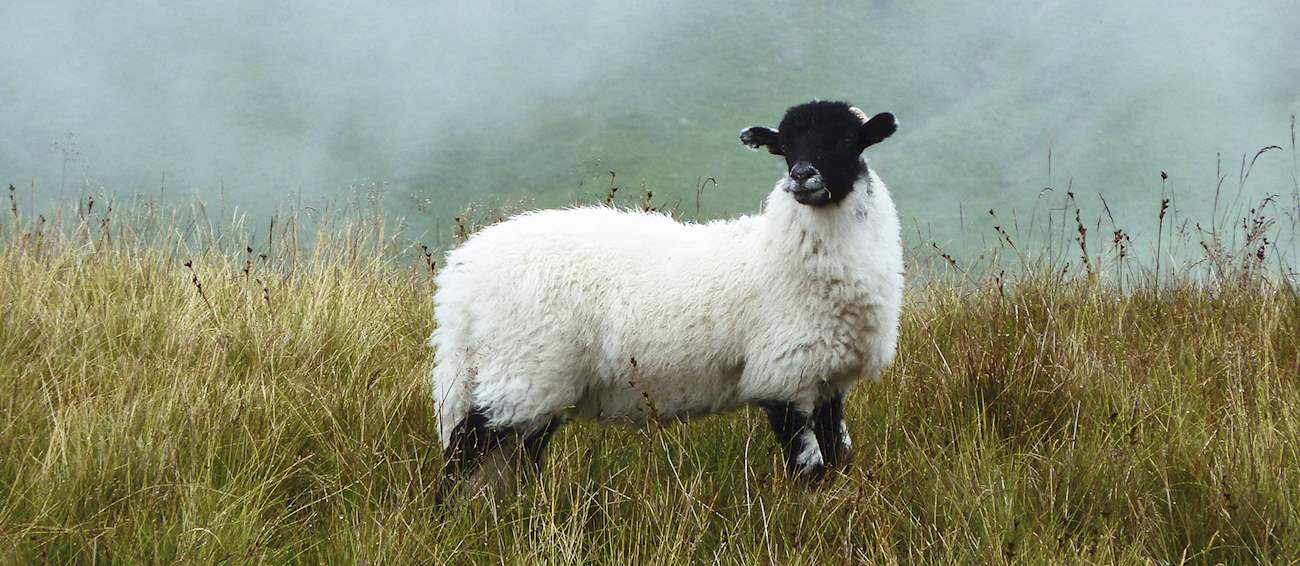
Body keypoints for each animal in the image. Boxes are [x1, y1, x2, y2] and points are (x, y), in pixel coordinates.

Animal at [429, 100, 903, 493]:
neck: (776, 248)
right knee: (465, 445)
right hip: (520, 367)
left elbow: (840, 454)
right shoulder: (783, 374)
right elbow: (810, 469)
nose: (801, 177)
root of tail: (461, 279)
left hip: (538, 382)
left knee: (513, 453)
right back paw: (447, 516)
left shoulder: (828, 378)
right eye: (784, 147)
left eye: (848, 141)